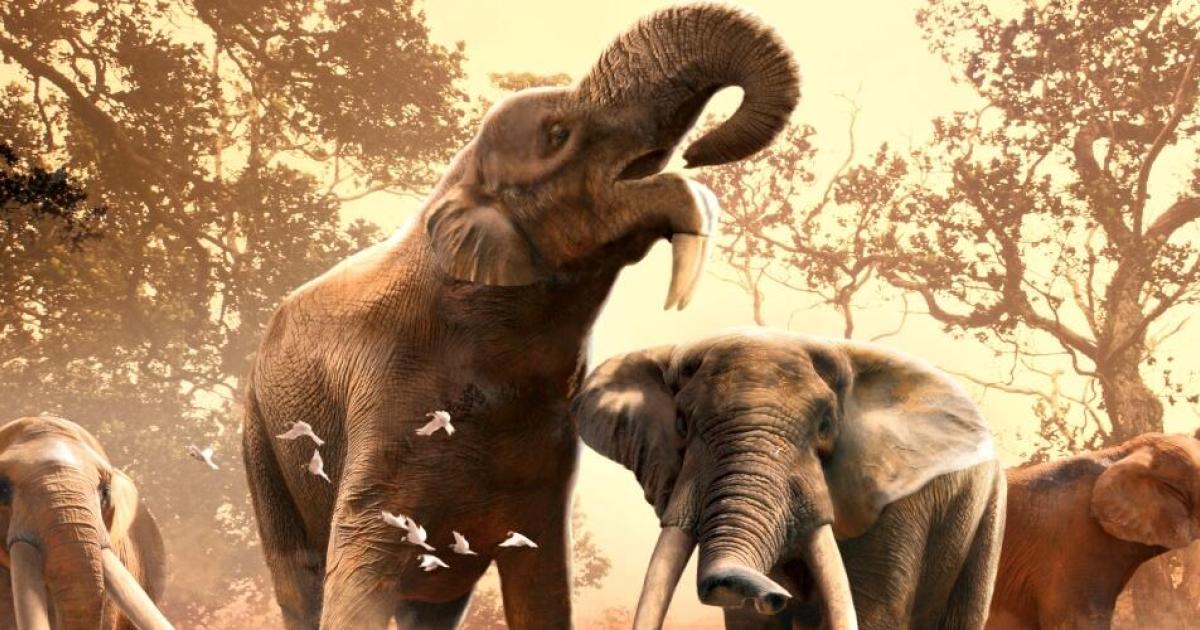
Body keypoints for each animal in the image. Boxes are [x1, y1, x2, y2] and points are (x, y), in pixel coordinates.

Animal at [240, 4, 799, 628]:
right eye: (558, 136)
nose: (699, 151)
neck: (457, 181)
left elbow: (542, 580)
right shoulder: (384, 400)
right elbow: (360, 568)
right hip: (260, 438)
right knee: (298, 580)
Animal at [571, 329, 1006, 629]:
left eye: (825, 427)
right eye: (681, 424)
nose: (775, 597)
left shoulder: (897, 505)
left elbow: (872, 610)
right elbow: (750, 622)